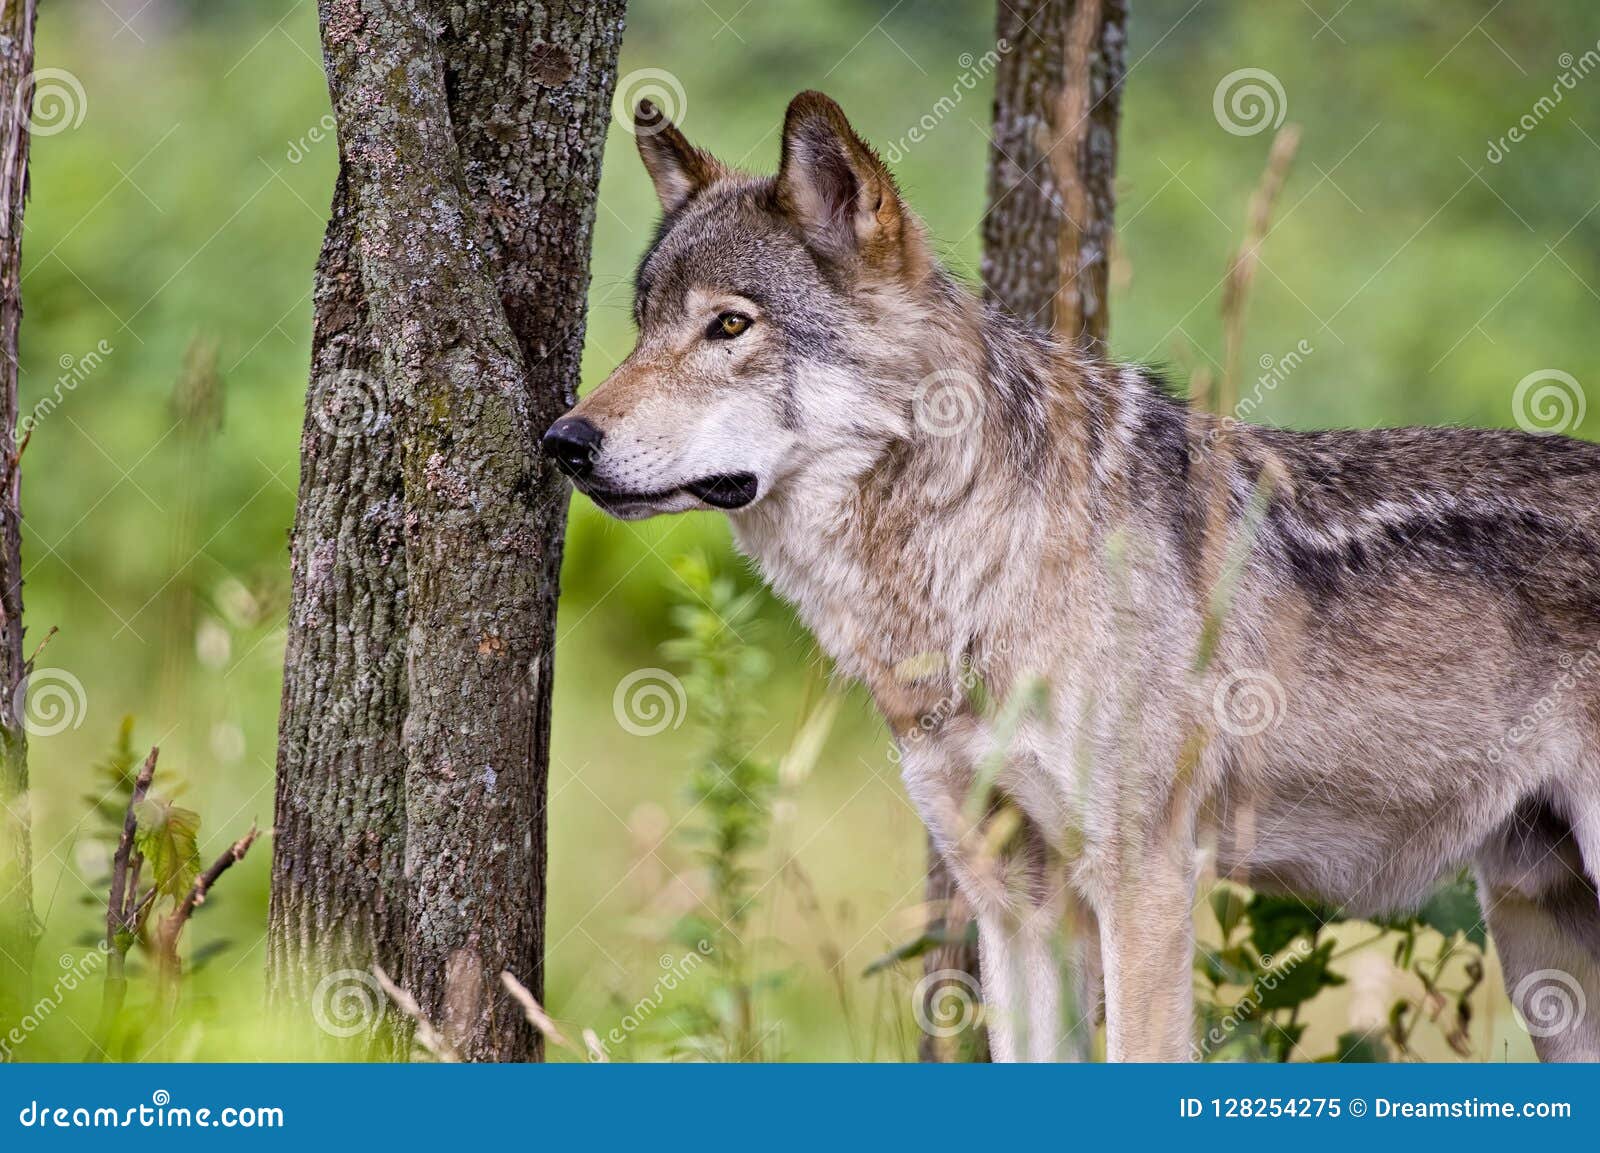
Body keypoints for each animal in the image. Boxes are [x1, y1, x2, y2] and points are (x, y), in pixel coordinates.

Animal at [542, 91, 1600, 1062]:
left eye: (730, 326)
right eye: (641, 327)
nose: (565, 443)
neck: (975, 562)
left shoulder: (1145, 886)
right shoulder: (1016, 905)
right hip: (1541, 946)